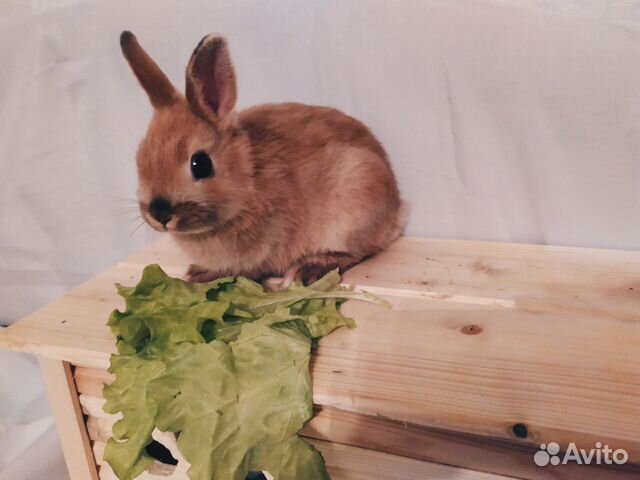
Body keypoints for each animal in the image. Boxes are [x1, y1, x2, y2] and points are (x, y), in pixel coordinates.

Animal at [120, 31, 406, 285]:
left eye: (200, 165)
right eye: (139, 158)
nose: (160, 214)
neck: (249, 179)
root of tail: (396, 212)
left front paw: (201, 274)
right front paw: (199, 271)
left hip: (355, 198)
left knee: (358, 252)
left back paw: (308, 269)